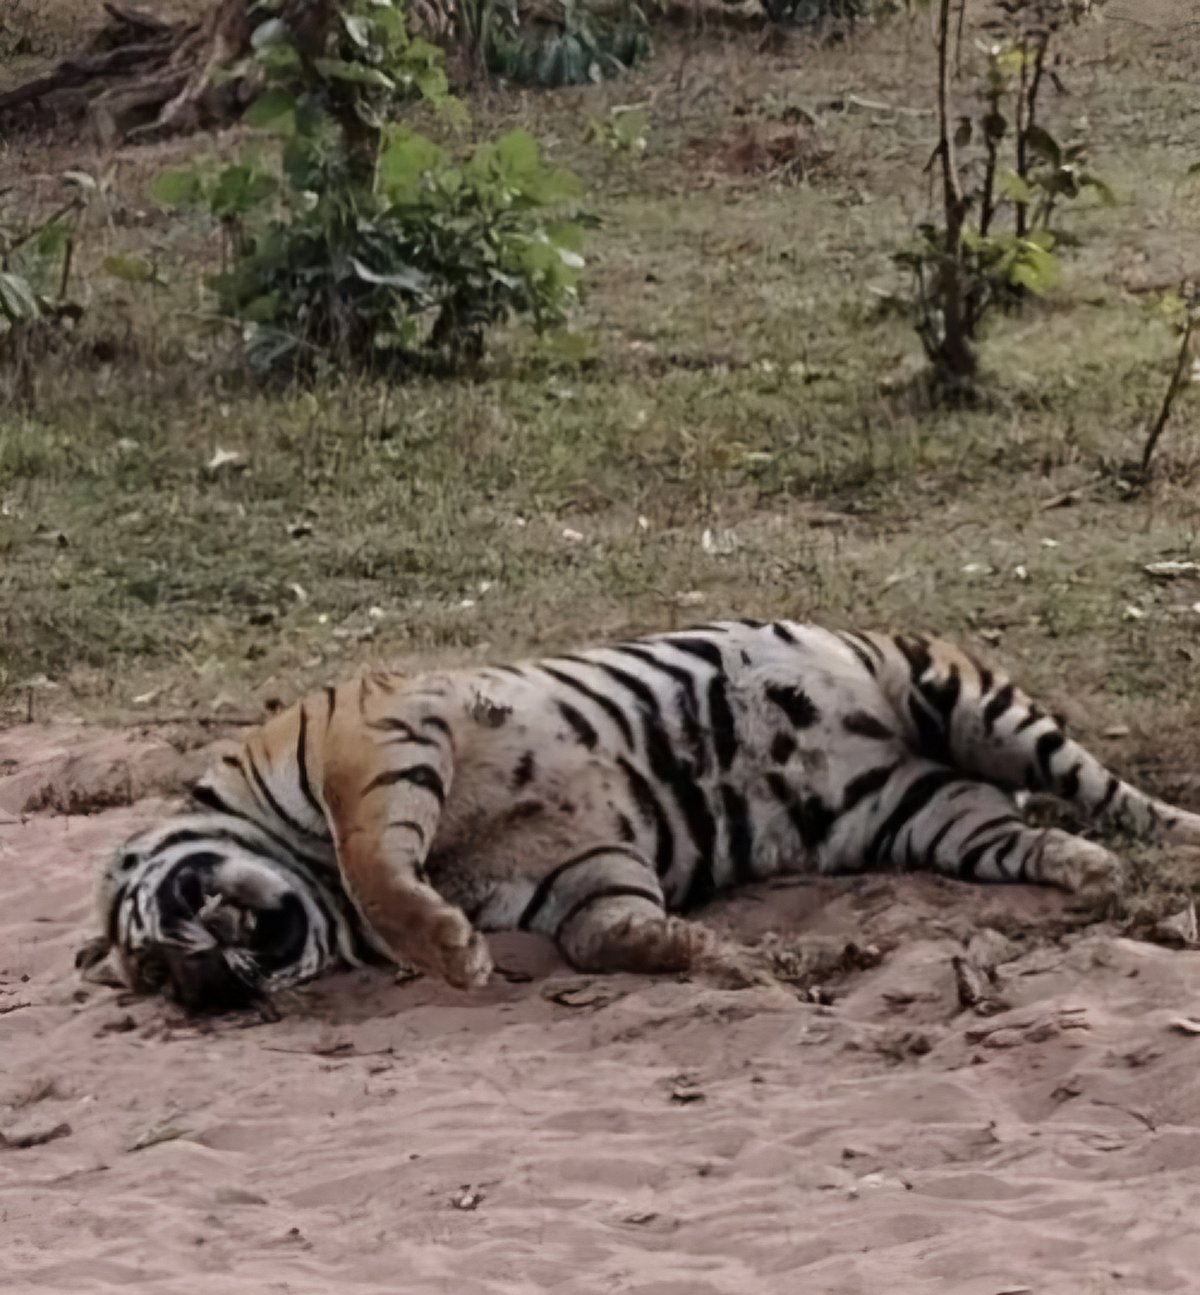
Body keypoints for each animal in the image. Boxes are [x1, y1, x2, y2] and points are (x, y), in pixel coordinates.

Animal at [78, 619, 1200, 1011]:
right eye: (166, 982)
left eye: (158, 950)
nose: (208, 985)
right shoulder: (575, 870)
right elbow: (607, 933)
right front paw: (719, 959)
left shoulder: (378, 741)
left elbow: (378, 863)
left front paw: (447, 951)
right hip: (924, 813)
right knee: (1029, 831)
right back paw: (1088, 872)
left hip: (965, 697)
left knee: (1109, 788)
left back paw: (1179, 838)